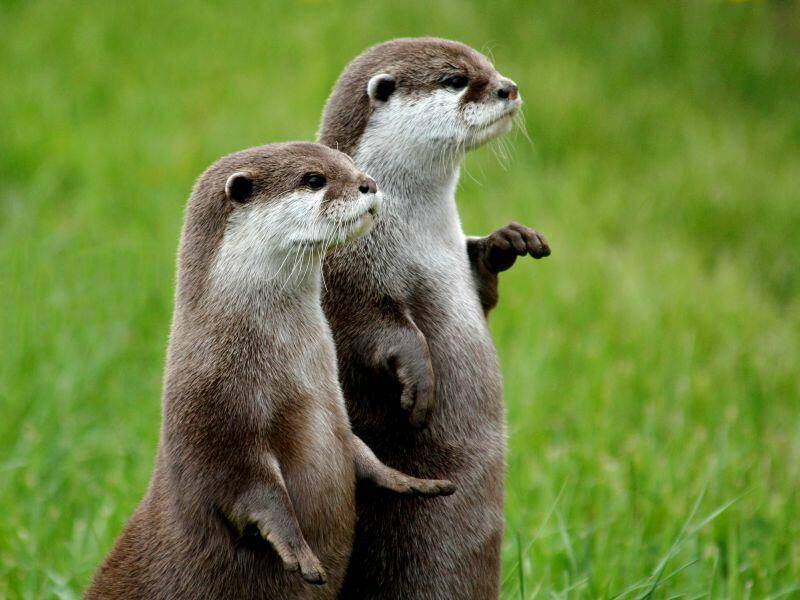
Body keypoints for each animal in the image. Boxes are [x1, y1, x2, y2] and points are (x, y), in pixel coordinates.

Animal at [87, 142, 454, 600]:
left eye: (350, 165)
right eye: (314, 179)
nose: (369, 183)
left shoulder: (335, 418)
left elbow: (361, 451)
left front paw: (414, 481)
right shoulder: (212, 423)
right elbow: (249, 493)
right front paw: (299, 552)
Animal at [317, 38, 550, 597]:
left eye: (489, 66)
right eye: (454, 80)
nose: (509, 87)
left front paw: (507, 241)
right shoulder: (347, 276)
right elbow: (372, 331)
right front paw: (419, 379)